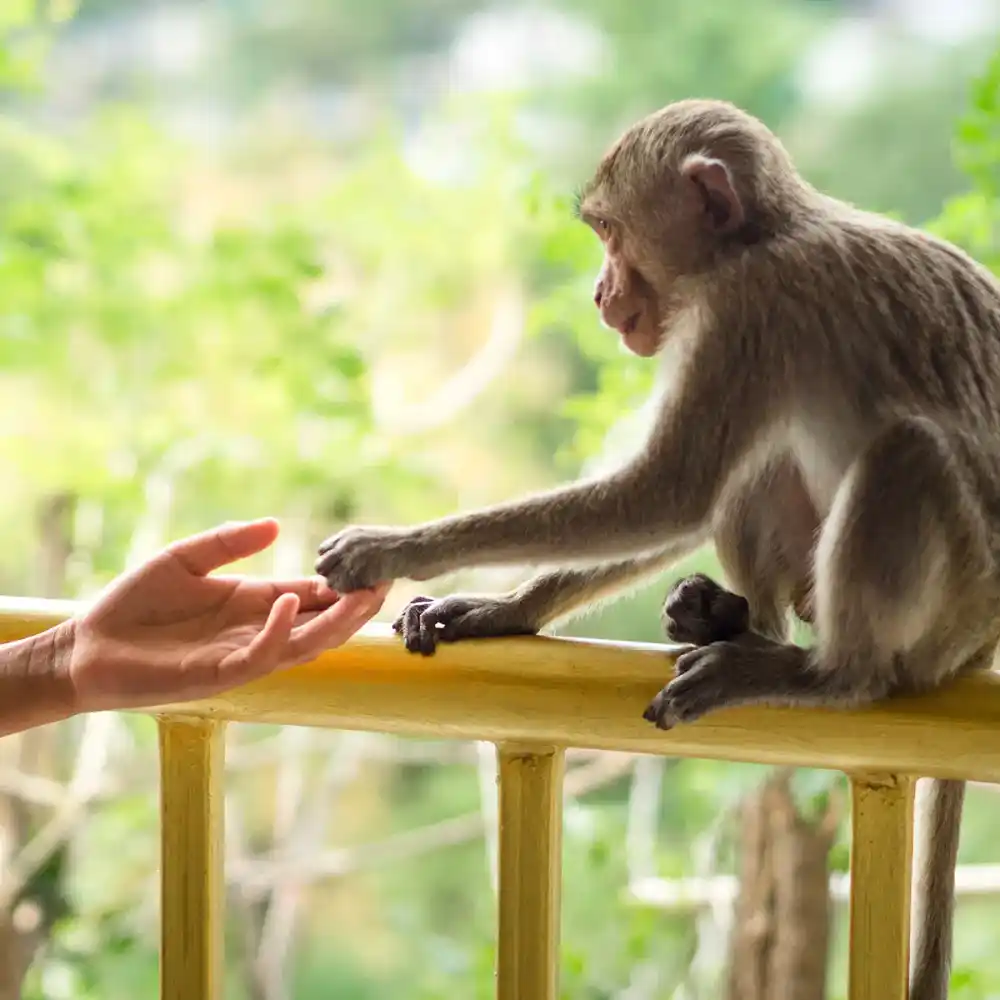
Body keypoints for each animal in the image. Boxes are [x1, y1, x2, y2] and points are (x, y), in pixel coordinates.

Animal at [315, 98, 1000, 999]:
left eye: (610, 233)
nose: (601, 293)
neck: (761, 238)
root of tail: (983, 646)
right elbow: (682, 495)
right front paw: (503, 607)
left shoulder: (748, 310)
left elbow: (667, 488)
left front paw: (394, 549)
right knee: (761, 471)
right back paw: (739, 626)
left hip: (956, 600)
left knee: (905, 454)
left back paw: (823, 674)